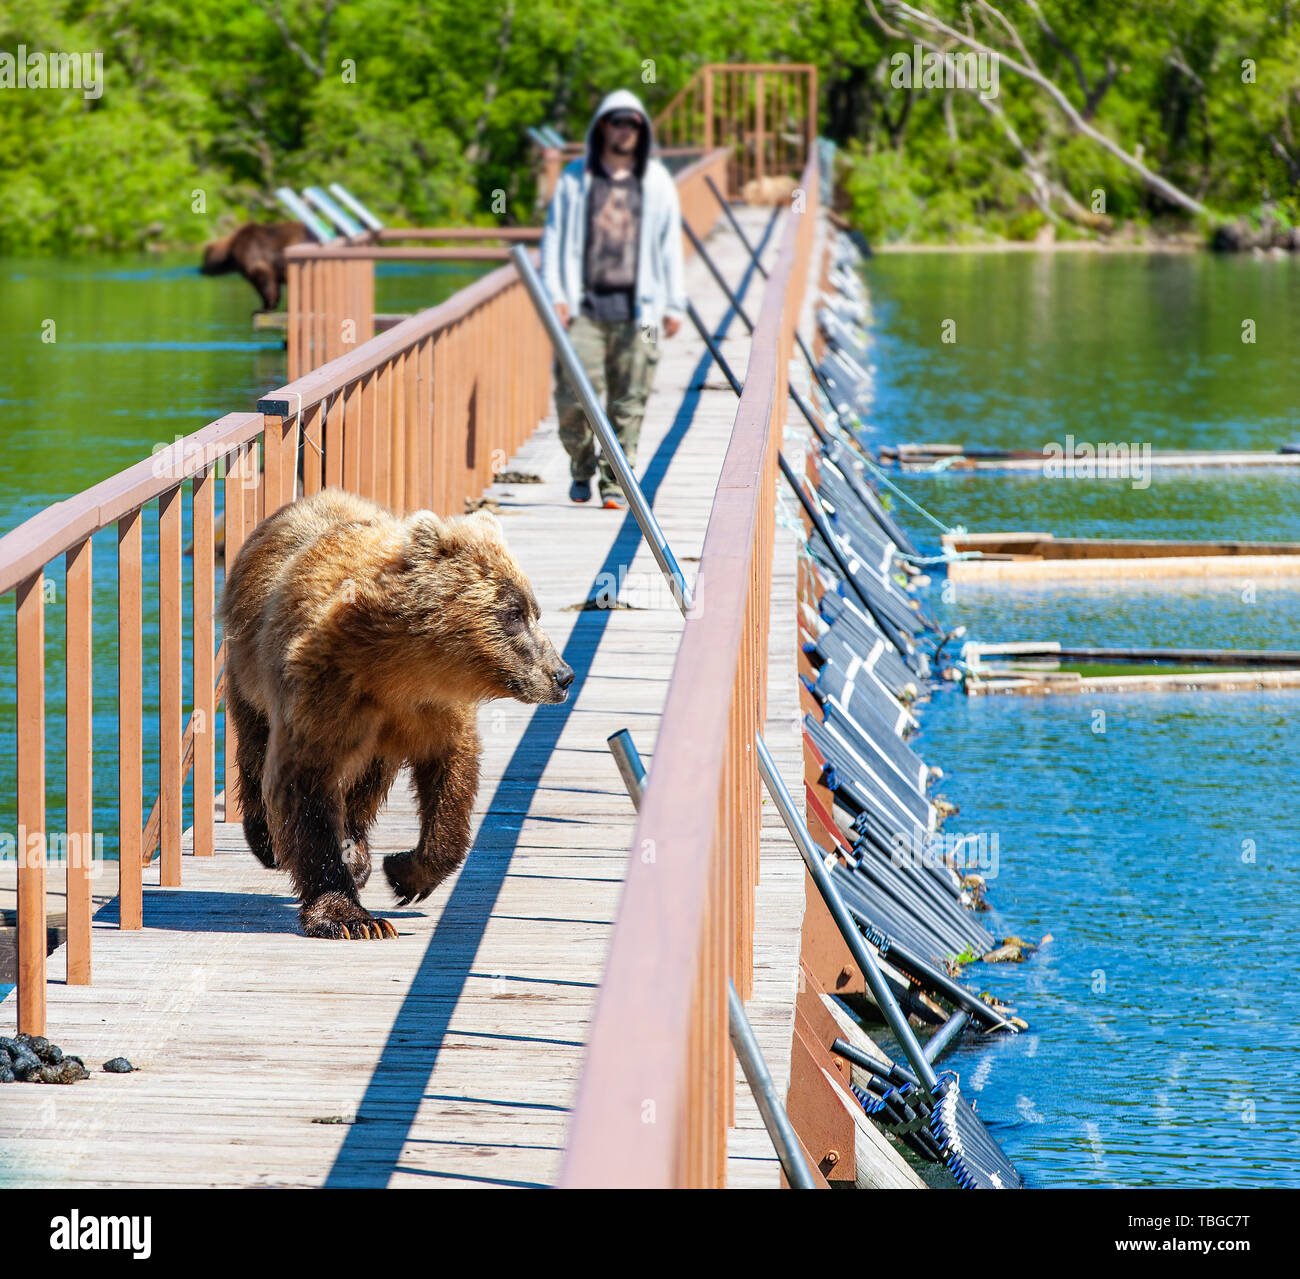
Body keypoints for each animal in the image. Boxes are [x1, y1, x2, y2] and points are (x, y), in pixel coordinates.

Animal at [220, 488, 574, 940]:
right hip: (247, 670)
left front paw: (405, 872)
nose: (563, 675)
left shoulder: (431, 708)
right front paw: (350, 918)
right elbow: (304, 783)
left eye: (534, 611)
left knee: (367, 784)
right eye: (513, 613)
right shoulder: (323, 689)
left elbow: (451, 776)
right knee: (254, 744)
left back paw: (358, 852)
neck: (400, 668)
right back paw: (266, 838)